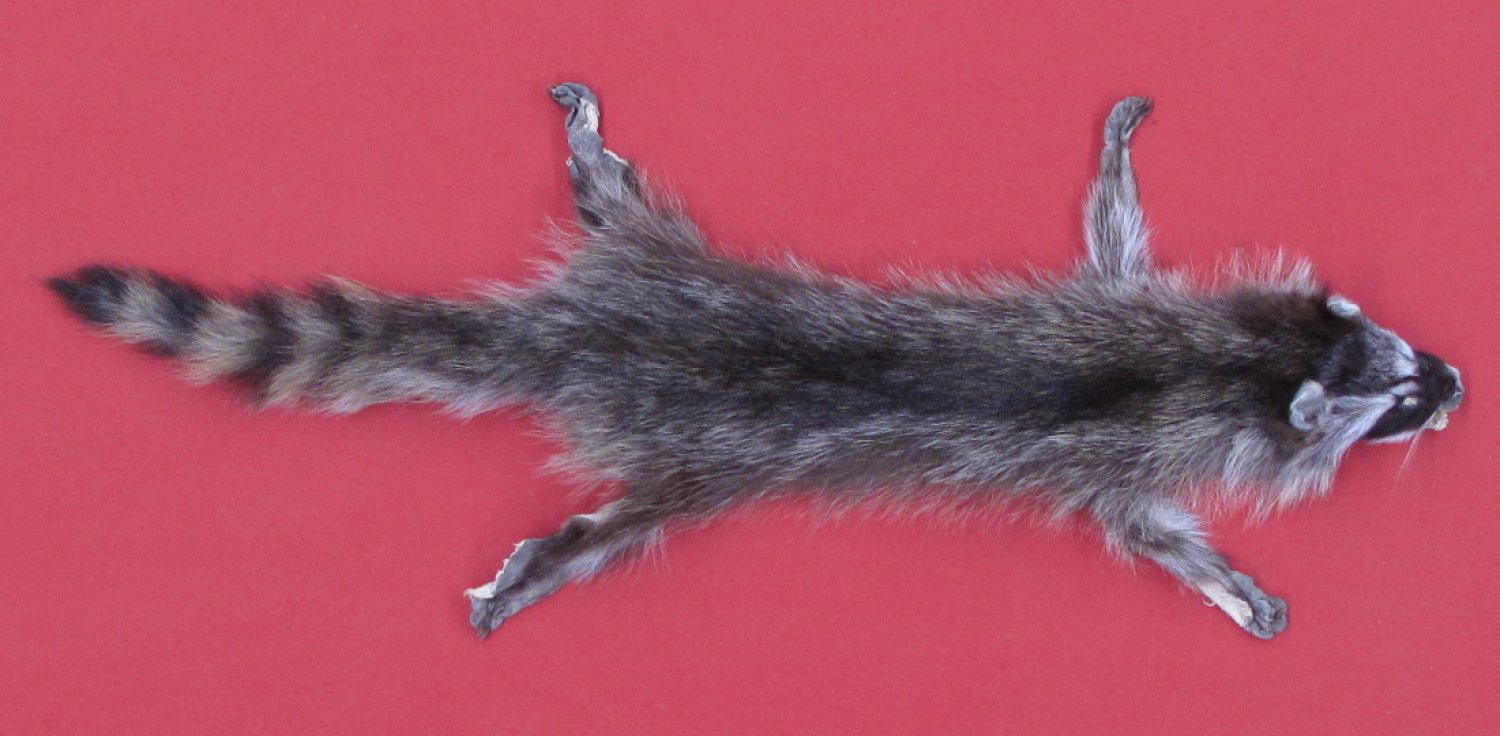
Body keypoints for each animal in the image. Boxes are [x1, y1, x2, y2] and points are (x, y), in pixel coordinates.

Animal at [48, 83, 1463, 640]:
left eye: (1406, 368)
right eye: (1392, 406)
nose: (1456, 387)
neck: (1233, 363)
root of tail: (595, 330)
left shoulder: (1138, 320)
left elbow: (1111, 232)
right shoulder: (1131, 435)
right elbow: (1154, 530)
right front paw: (1230, 579)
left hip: (663, 266)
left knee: (625, 224)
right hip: (691, 456)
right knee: (616, 528)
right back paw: (551, 558)